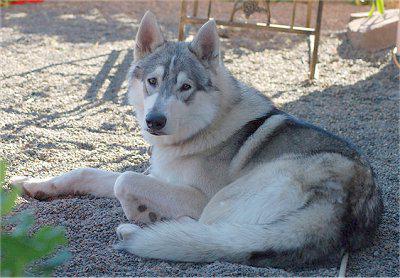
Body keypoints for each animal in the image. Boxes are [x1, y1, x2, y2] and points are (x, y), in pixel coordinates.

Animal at [10, 11, 382, 268]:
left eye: (185, 87)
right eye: (152, 81)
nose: (154, 121)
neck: (202, 128)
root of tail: (347, 206)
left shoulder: (193, 195)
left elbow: (124, 181)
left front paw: (139, 213)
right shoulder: (156, 175)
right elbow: (87, 172)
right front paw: (34, 184)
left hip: (218, 204)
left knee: (207, 235)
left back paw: (146, 229)